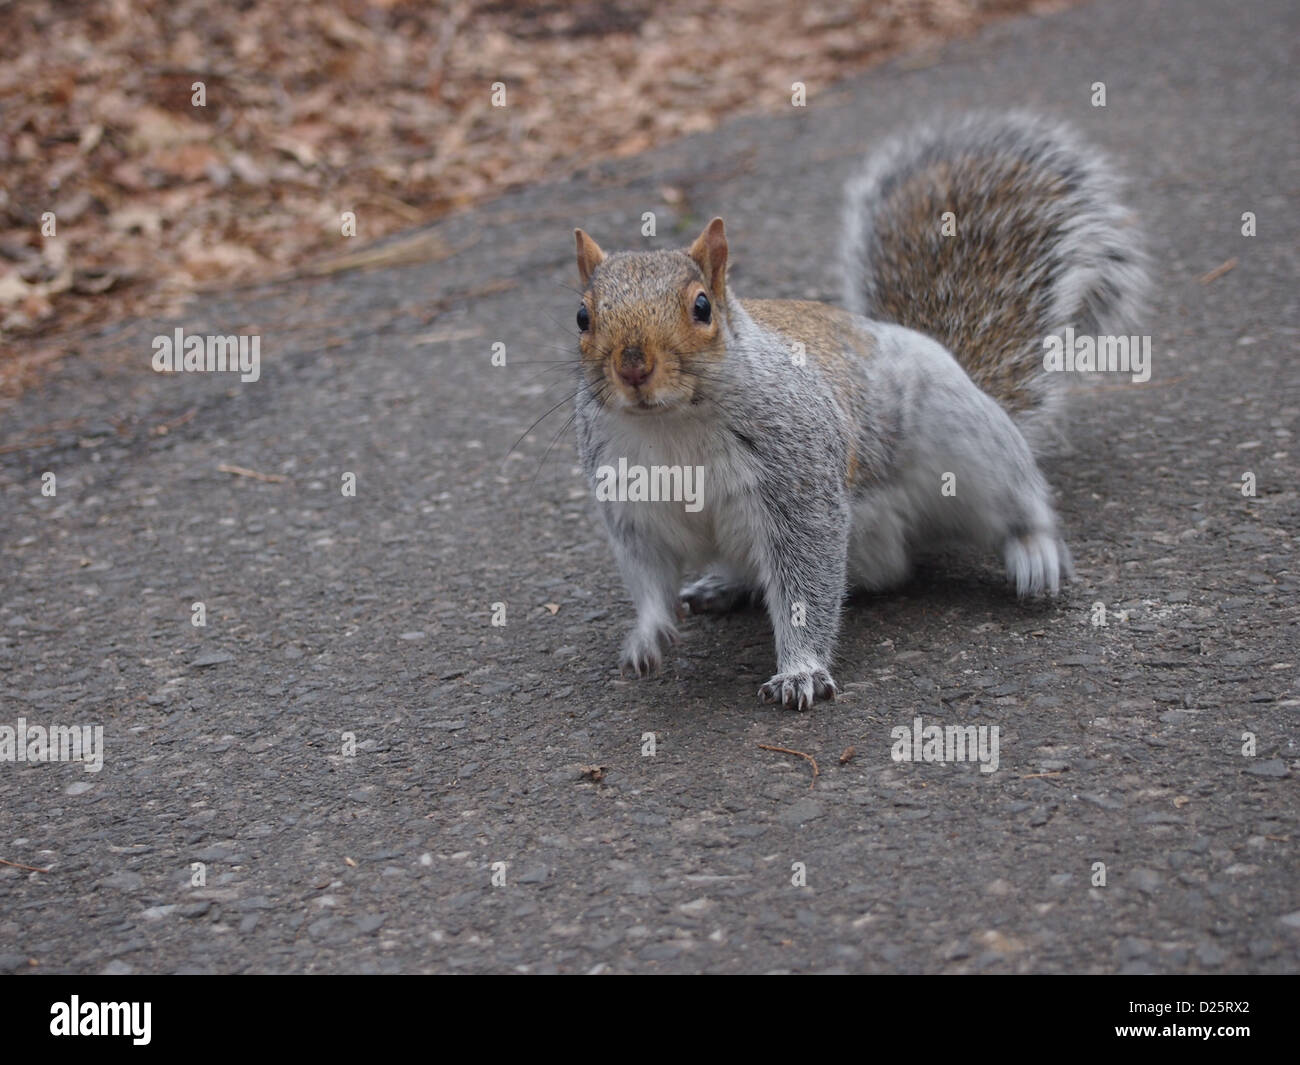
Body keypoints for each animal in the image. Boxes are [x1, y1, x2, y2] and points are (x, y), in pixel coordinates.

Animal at [570, 112, 1149, 710]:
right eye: (582, 316)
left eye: (702, 306)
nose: (633, 367)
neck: (673, 424)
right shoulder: (632, 498)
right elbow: (648, 573)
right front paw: (648, 634)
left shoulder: (797, 474)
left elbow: (806, 577)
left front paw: (800, 670)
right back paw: (723, 585)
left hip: (968, 445)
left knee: (1017, 500)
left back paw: (1034, 550)